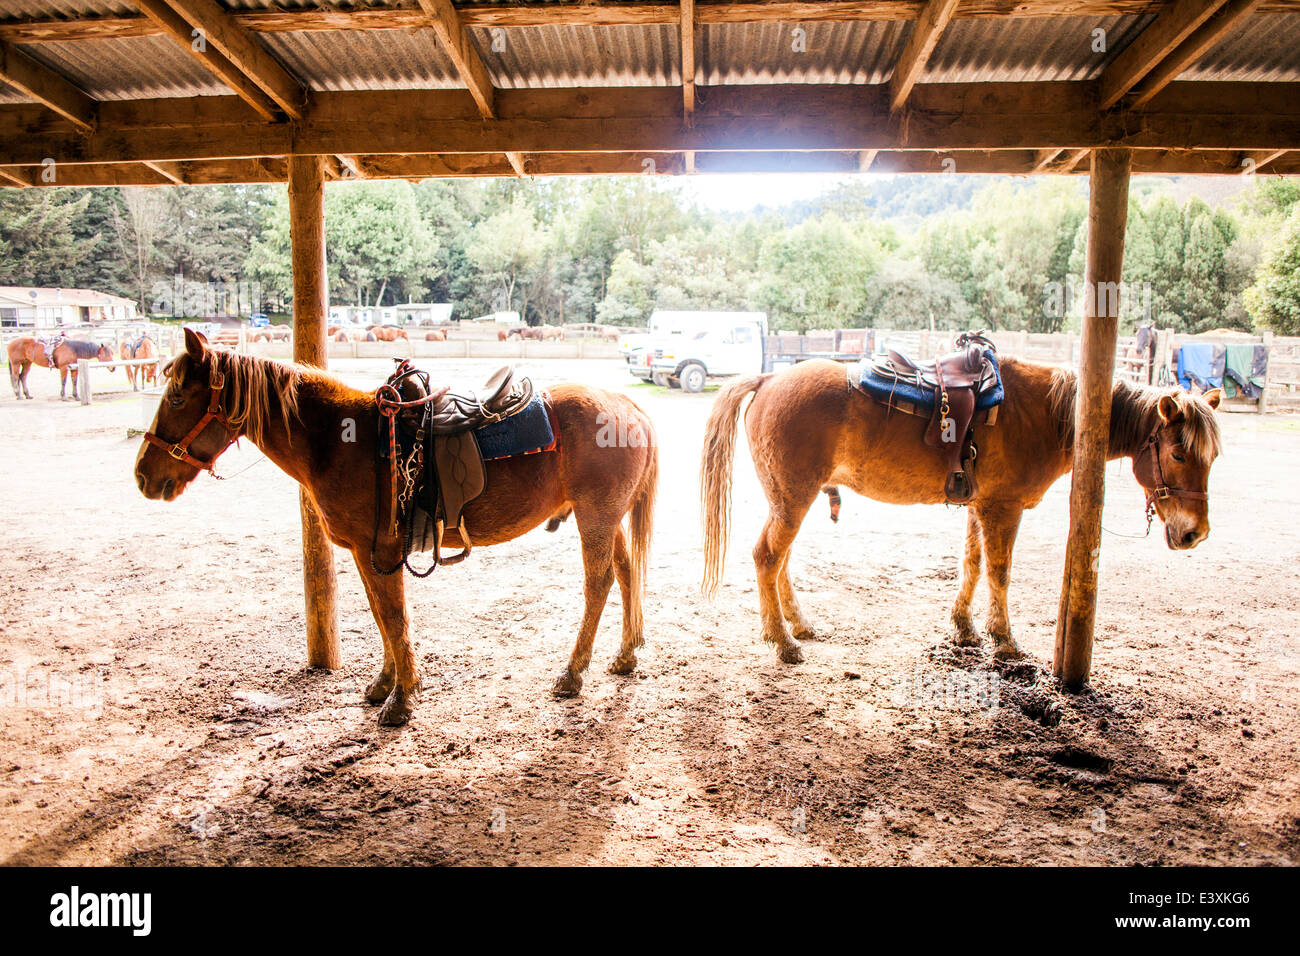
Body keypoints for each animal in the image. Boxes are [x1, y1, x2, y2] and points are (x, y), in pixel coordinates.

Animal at [134, 329, 658, 727]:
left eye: (177, 396)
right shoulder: (367, 553)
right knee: (626, 572)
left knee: (598, 583)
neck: (340, 441)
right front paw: (385, 683)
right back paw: (625, 655)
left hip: (595, 517)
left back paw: (573, 673)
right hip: (605, 519)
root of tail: (631, 407)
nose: (143, 475)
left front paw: (402, 699)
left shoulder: (381, 551)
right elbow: (380, 614)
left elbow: (394, 617)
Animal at [700, 356, 1223, 666]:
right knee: (767, 557)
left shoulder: (978, 507)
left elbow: (970, 565)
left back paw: (798, 625)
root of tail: (769, 377)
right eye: (1179, 453)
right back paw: (781, 640)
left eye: (1212, 455)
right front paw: (1004, 639)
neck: (1046, 415)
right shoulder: (1002, 509)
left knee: (780, 561)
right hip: (793, 500)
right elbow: (999, 572)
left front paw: (965, 628)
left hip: (791, 500)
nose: (1195, 533)